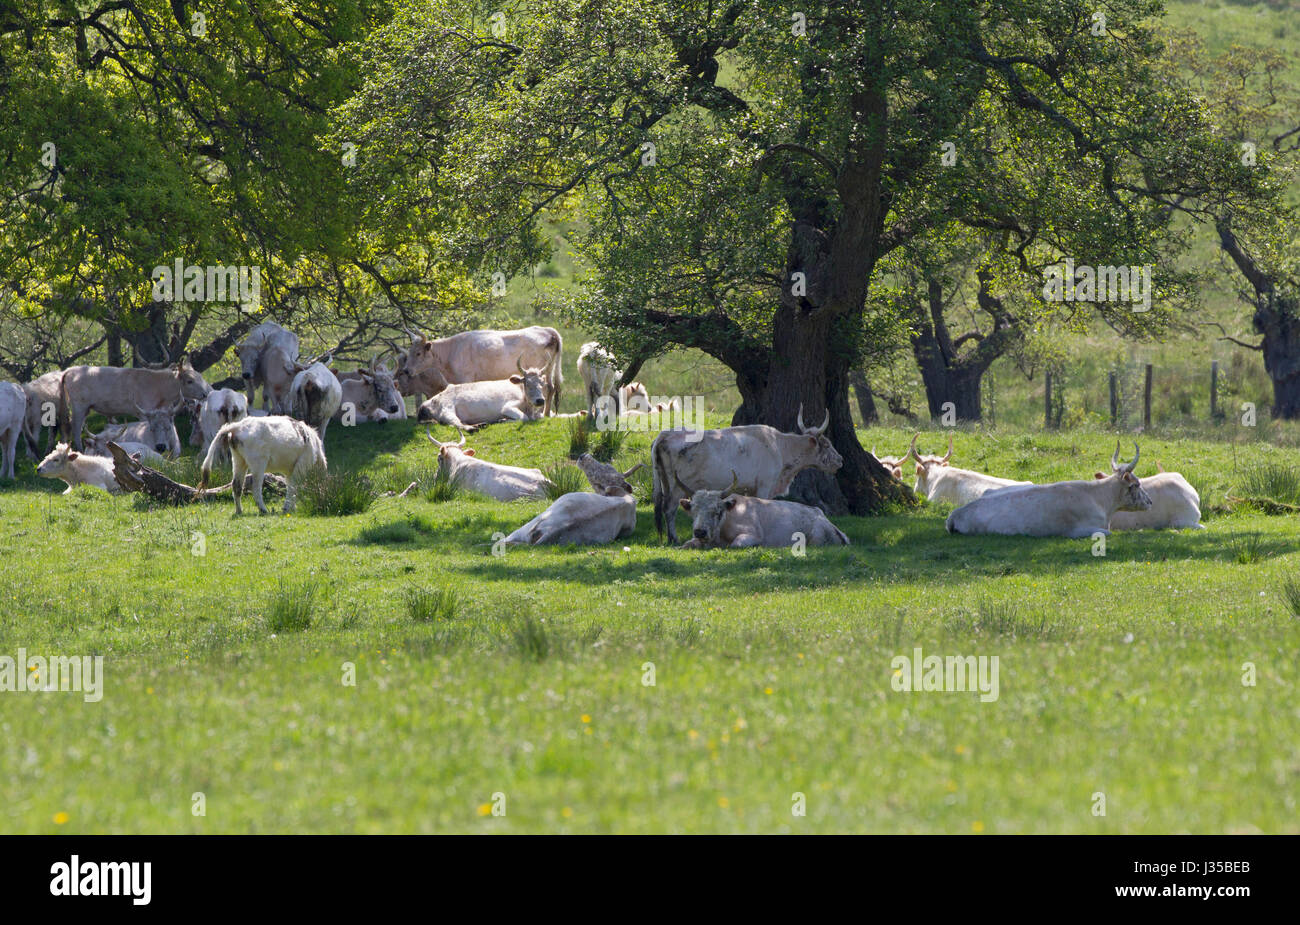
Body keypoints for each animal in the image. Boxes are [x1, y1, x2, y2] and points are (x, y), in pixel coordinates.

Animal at [60, 358, 210, 451]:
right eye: (190, 381)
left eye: (200, 377)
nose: (205, 393)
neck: (158, 385)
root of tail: (70, 370)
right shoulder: (144, 411)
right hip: (79, 407)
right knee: (76, 429)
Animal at [397, 325, 563, 415]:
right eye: (410, 351)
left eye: (418, 353)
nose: (406, 370)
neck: (450, 351)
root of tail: (547, 330)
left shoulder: (466, 379)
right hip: (548, 369)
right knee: (551, 387)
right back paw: (546, 413)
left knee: (547, 389)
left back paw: (544, 413)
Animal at [414, 358, 548, 432]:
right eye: (528, 383)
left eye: (542, 383)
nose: (540, 400)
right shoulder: (508, 407)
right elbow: (524, 417)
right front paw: (503, 420)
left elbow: (540, 416)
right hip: (447, 410)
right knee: (456, 424)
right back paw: (473, 428)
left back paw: (481, 424)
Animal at [651, 405, 843, 545]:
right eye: (827, 444)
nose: (840, 460)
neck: (780, 447)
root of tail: (665, 434)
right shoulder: (765, 485)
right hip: (676, 486)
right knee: (669, 509)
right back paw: (673, 538)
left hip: (665, 482)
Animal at [679, 485, 849, 549]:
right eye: (693, 511)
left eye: (716, 511)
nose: (700, 532)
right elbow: (686, 544)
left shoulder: (753, 535)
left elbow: (736, 544)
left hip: (815, 538)